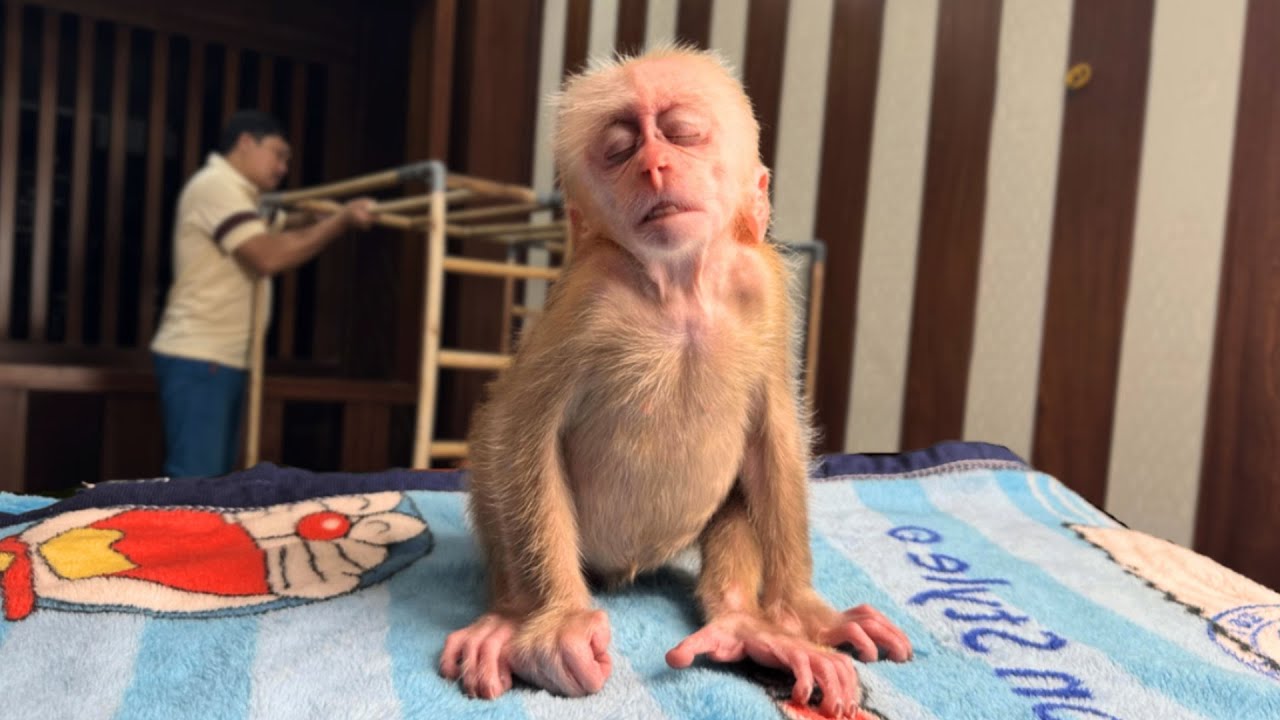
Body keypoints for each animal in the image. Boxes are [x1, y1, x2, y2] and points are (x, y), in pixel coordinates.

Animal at [438, 46, 912, 719]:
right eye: (620, 147)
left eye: (684, 133)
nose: (654, 165)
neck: (681, 287)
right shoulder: (591, 294)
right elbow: (515, 428)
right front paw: (555, 623)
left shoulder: (761, 284)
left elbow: (775, 434)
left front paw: (801, 611)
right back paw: (512, 615)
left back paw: (747, 626)